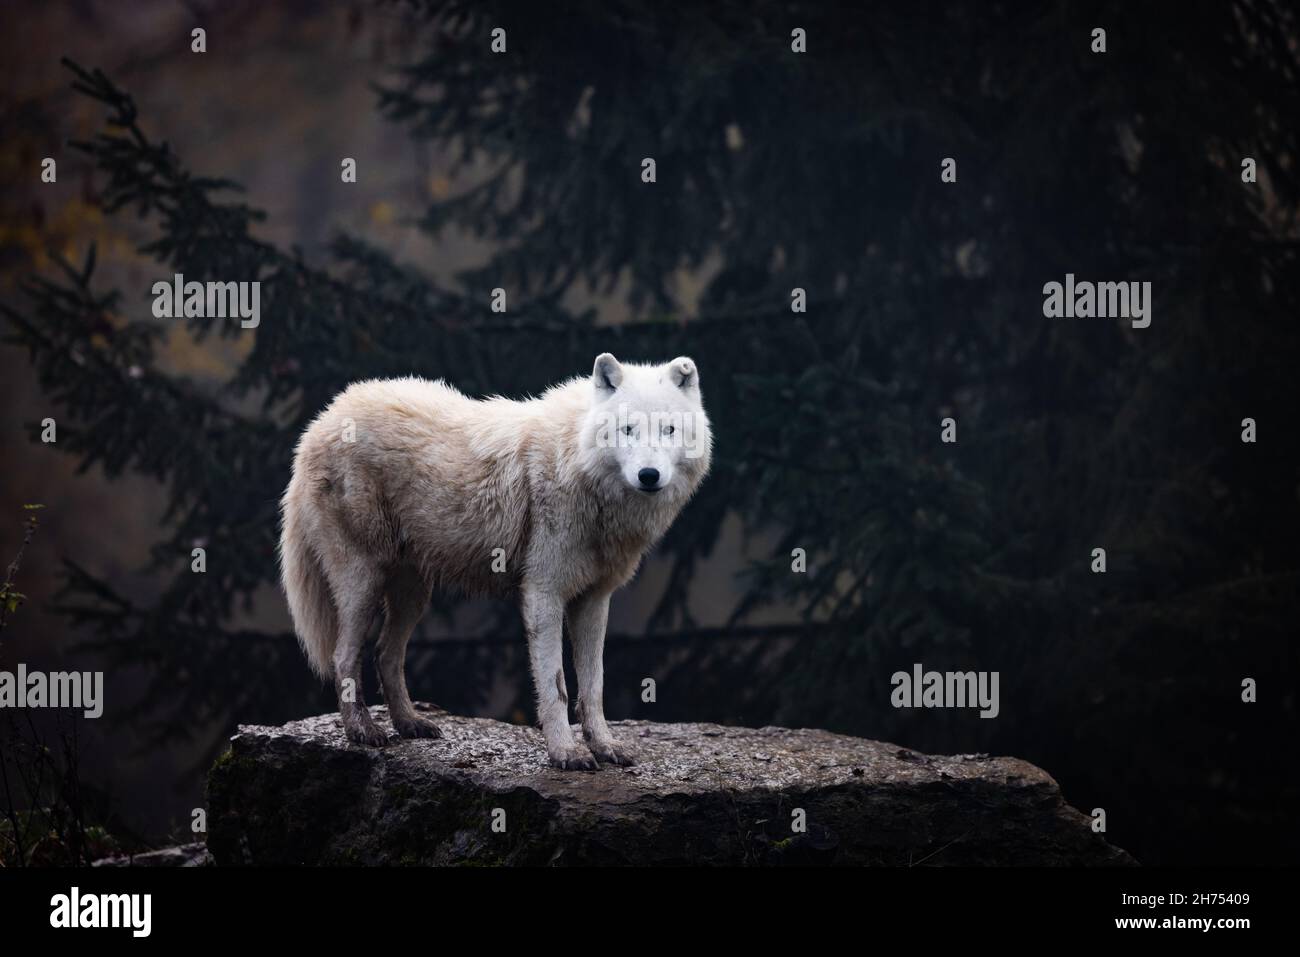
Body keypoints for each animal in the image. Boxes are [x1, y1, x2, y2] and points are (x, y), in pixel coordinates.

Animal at [279, 354, 711, 769]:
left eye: (669, 429)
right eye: (627, 429)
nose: (649, 475)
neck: (578, 465)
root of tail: (322, 420)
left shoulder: (594, 599)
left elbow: (593, 685)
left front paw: (604, 746)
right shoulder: (543, 594)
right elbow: (556, 685)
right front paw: (565, 754)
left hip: (413, 593)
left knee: (386, 652)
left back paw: (410, 724)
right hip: (364, 583)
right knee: (343, 656)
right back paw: (363, 731)